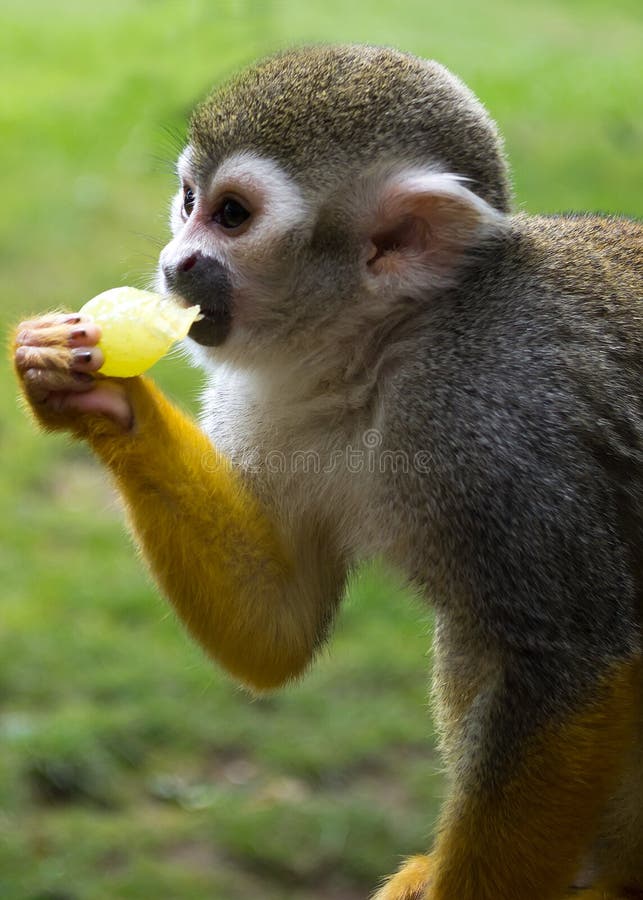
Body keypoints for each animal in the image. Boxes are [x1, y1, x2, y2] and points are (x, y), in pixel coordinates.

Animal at [12, 44, 642, 900]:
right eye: (189, 201)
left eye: (232, 216)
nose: (176, 263)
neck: (379, 353)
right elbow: (276, 627)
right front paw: (94, 391)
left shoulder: (500, 415)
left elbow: (568, 654)